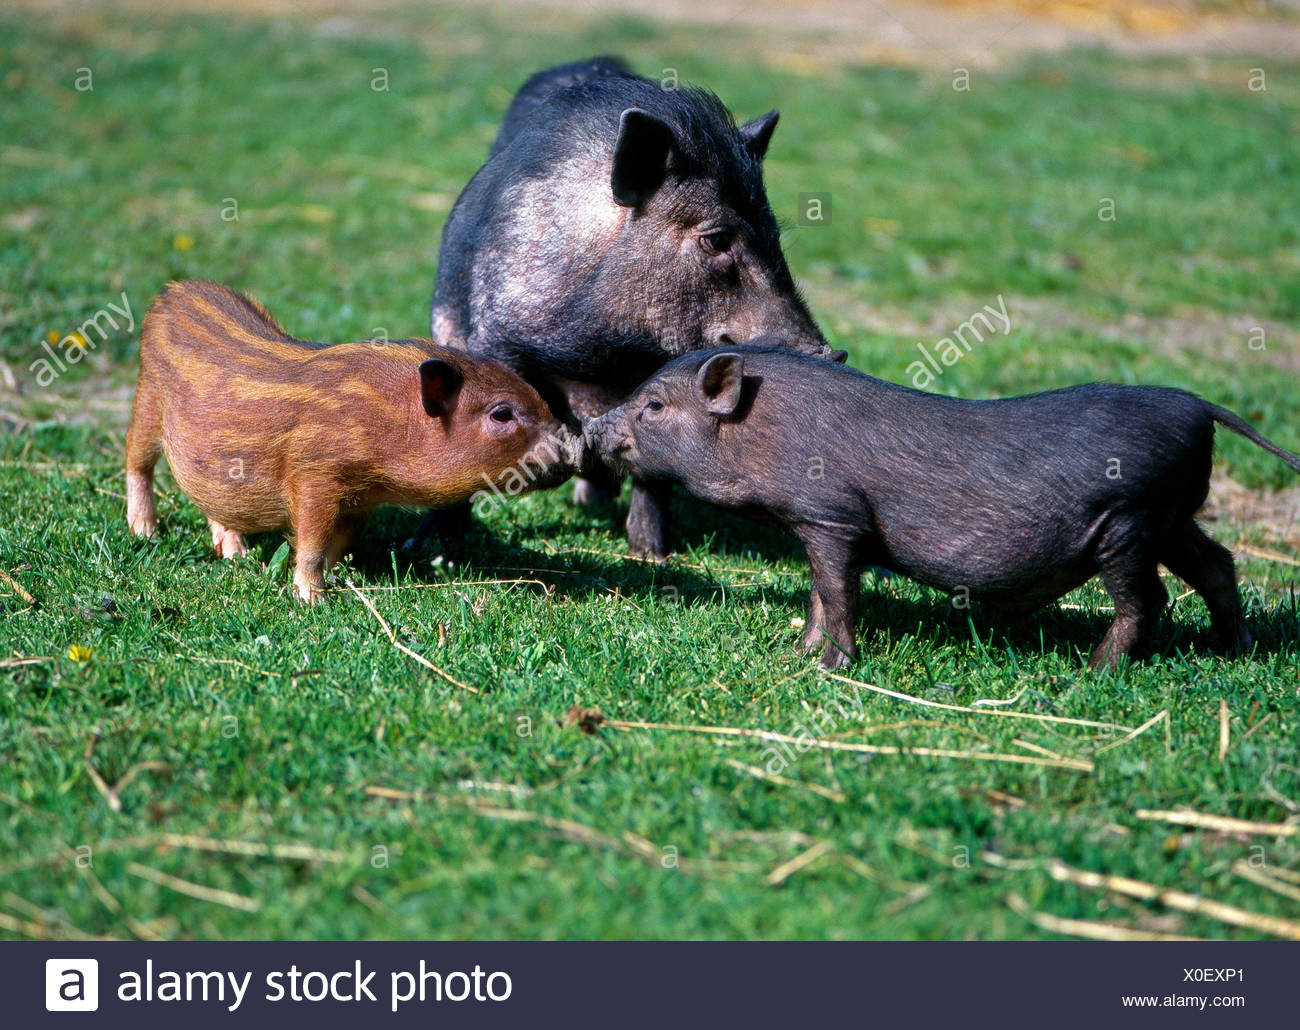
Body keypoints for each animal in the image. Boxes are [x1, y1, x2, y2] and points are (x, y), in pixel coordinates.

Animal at [125, 280, 582, 602]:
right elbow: (312, 541)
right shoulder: (315, 476)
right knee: (136, 460)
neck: (388, 421)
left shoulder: (363, 499)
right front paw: (313, 599)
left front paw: (340, 576)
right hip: (148, 398)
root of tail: (172, 291)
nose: (576, 449)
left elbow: (340, 542)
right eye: (501, 414)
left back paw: (236, 555)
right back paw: (145, 533)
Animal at [428, 56, 845, 558]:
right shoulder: (494, 338)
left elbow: (653, 469)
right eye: (717, 239)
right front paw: (434, 550)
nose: (830, 353)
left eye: (775, 237)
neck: (598, 353)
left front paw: (650, 554)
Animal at [585, 342, 1300, 669]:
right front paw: (796, 654)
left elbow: (837, 592)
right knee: (1218, 564)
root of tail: (1197, 406)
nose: (592, 426)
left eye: (653, 405)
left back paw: (1094, 672)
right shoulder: (815, 525)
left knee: (1149, 598)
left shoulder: (832, 516)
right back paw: (1238, 650)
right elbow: (818, 592)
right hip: (1171, 518)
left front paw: (829, 666)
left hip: (1128, 523)